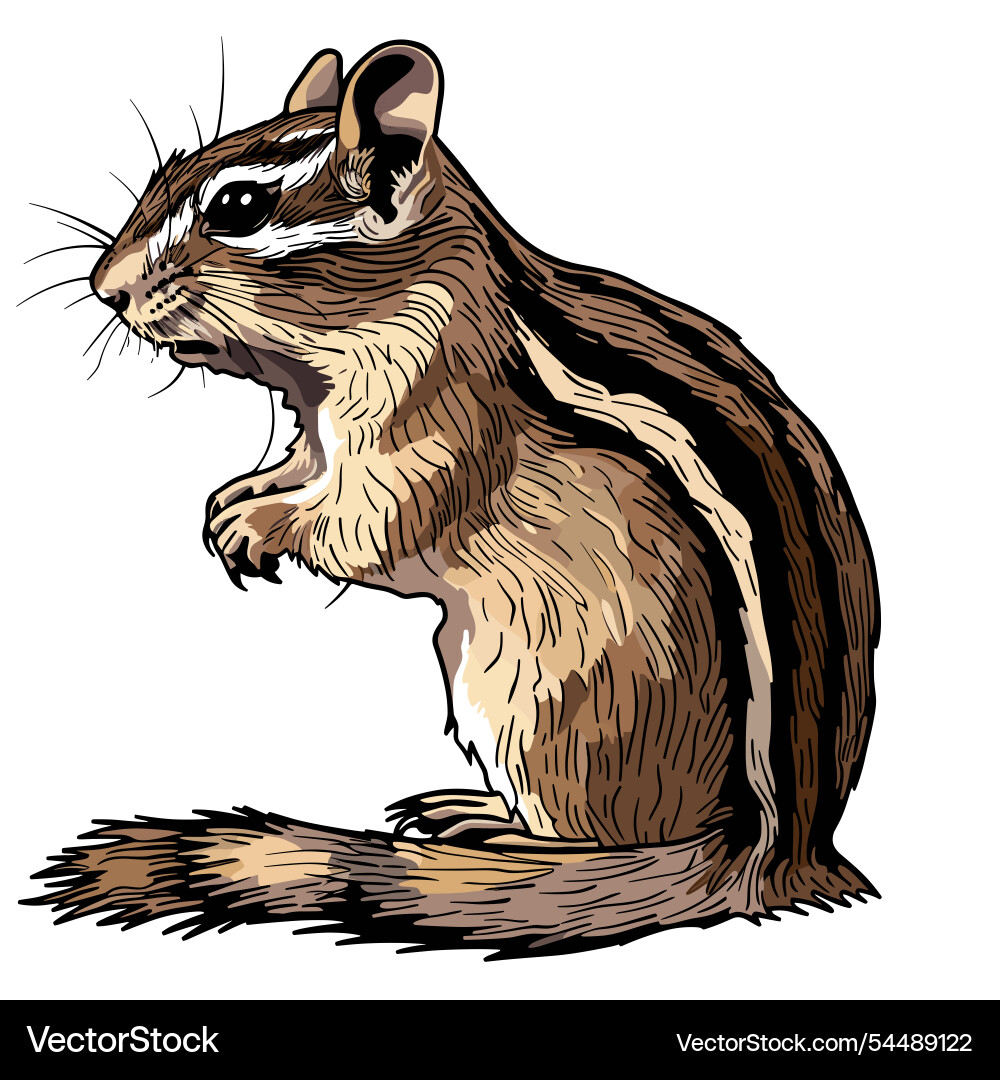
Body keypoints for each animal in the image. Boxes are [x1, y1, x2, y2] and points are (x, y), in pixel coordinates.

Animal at [29, 41, 880, 955]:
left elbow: (368, 525)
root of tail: (767, 856)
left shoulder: (437, 428)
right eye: (165, 172)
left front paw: (262, 522)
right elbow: (298, 468)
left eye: (239, 206)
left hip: (536, 696)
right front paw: (238, 498)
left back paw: (506, 841)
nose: (105, 286)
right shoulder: (318, 433)